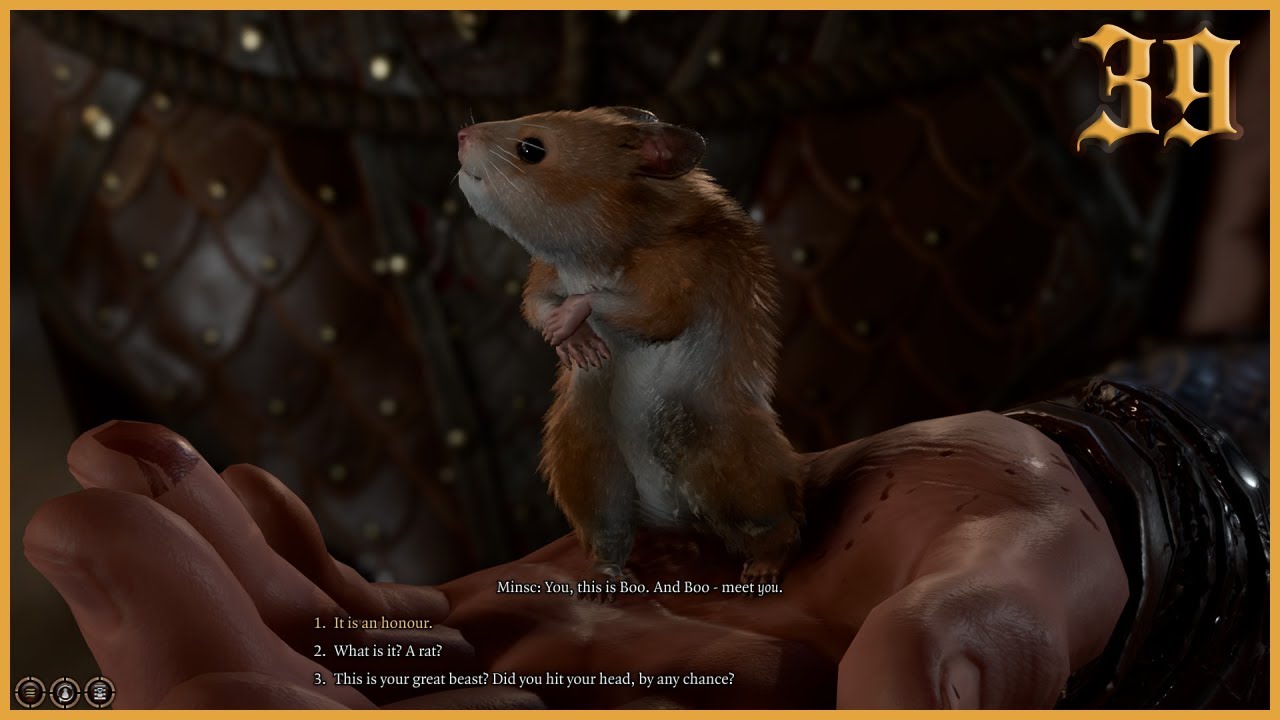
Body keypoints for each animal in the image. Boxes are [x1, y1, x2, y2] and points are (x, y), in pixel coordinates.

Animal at [457, 106, 803, 590]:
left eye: (531, 149)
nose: (460, 135)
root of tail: (677, 517)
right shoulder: (545, 273)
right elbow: (537, 303)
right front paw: (575, 346)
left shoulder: (676, 279)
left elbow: (624, 306)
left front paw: (572, 329)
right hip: (586, 462)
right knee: (610, 533)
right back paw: (605, 581)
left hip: (732, 470)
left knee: (779, 525)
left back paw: (760, 570)